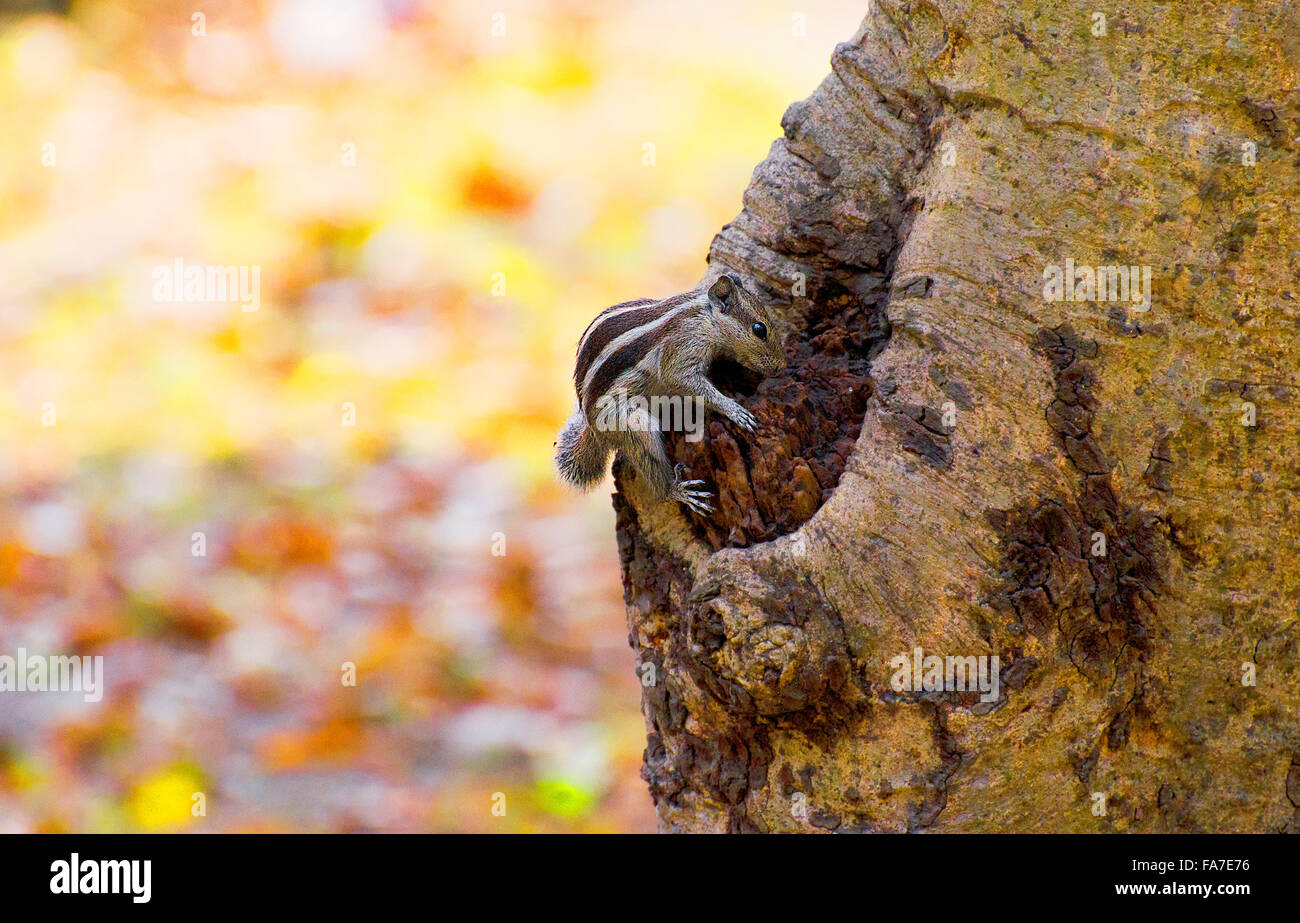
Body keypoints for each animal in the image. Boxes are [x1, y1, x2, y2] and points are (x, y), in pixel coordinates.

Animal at [554, 272, 786, 514]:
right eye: (759, 329)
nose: (781, 366)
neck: (704, 317)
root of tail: (592, 428)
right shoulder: (681, 351)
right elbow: (682, 380)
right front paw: (734, 410)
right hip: (632, 424)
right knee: (655, 476)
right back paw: (678, 491)